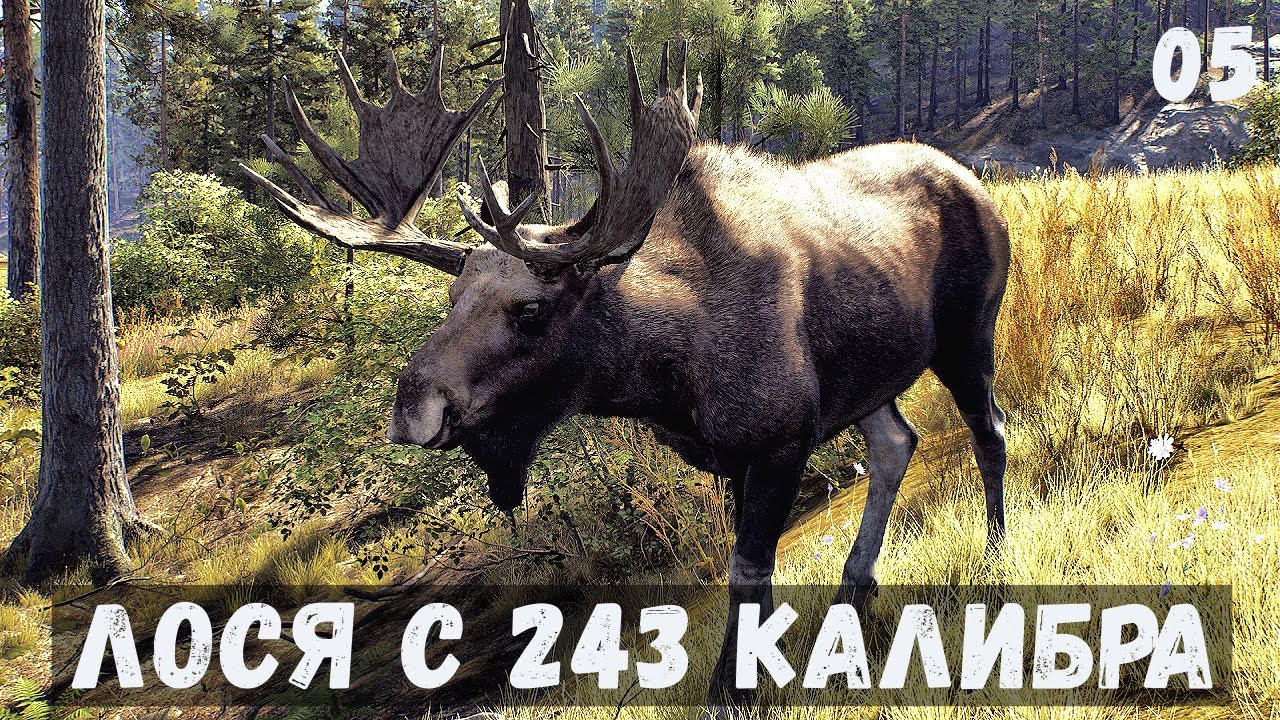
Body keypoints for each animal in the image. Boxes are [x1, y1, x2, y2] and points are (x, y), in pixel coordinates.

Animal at [239, 42, 1010, 707]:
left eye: (530, 309)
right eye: (452, 297)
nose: (411, 405)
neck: (664, 377)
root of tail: (977, 184)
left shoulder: (779, 439)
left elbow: (749, 573)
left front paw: (733, 691)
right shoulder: (738, 454)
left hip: (967, 339)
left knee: (990, 431)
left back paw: (996, 556)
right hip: (869, 377)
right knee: (897, 442)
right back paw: (856, 589)